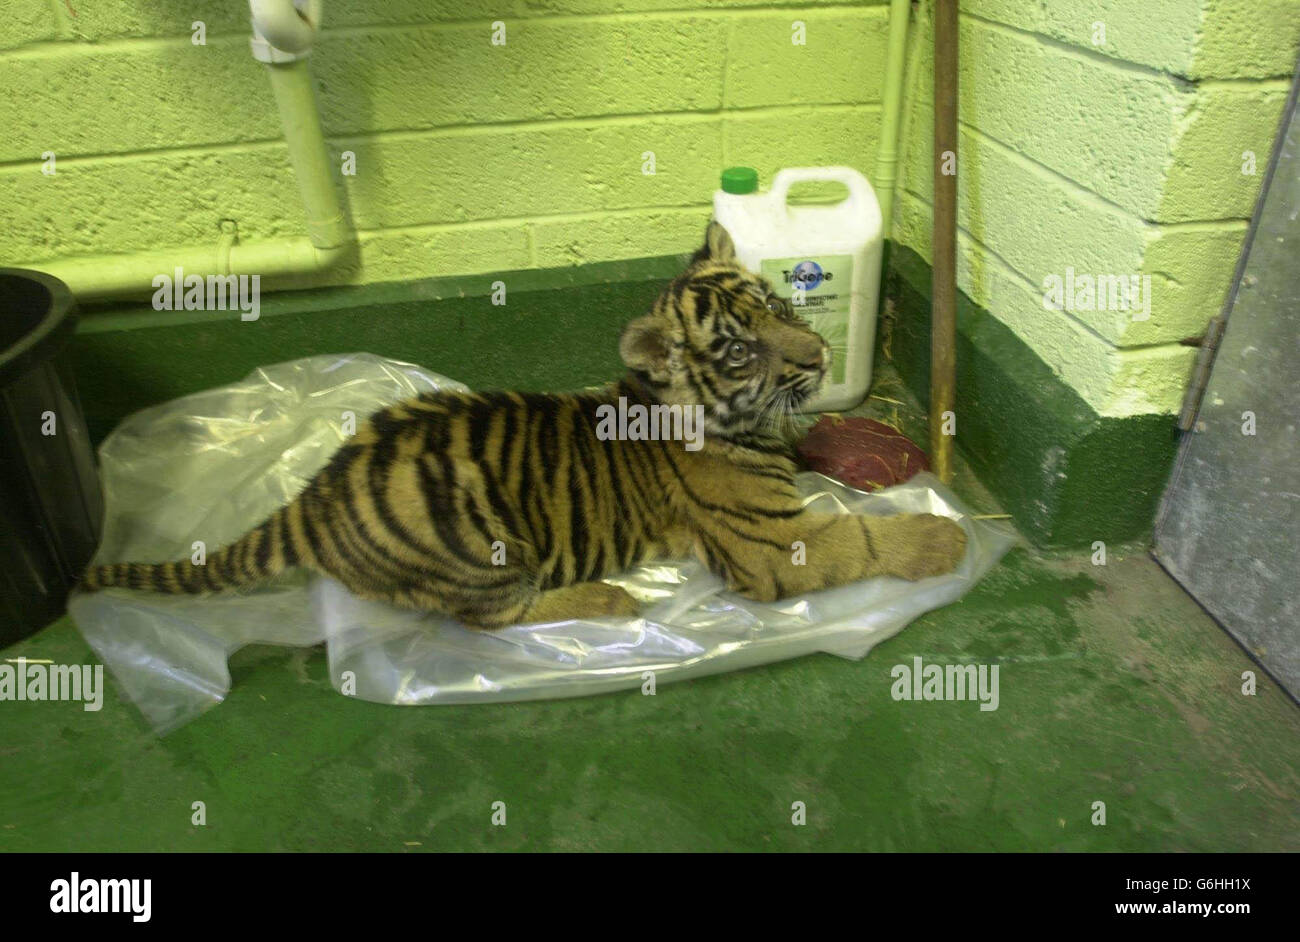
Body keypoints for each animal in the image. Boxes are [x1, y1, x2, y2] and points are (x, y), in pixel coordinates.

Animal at [78, 221, 968, 628]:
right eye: (741, 349)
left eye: (781, 305)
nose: (822, 356)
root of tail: (313, 498)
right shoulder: (775, 544)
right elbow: (860, 537)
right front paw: (942, 538)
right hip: (477, 541)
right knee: (491, 618)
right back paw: (607, 599)